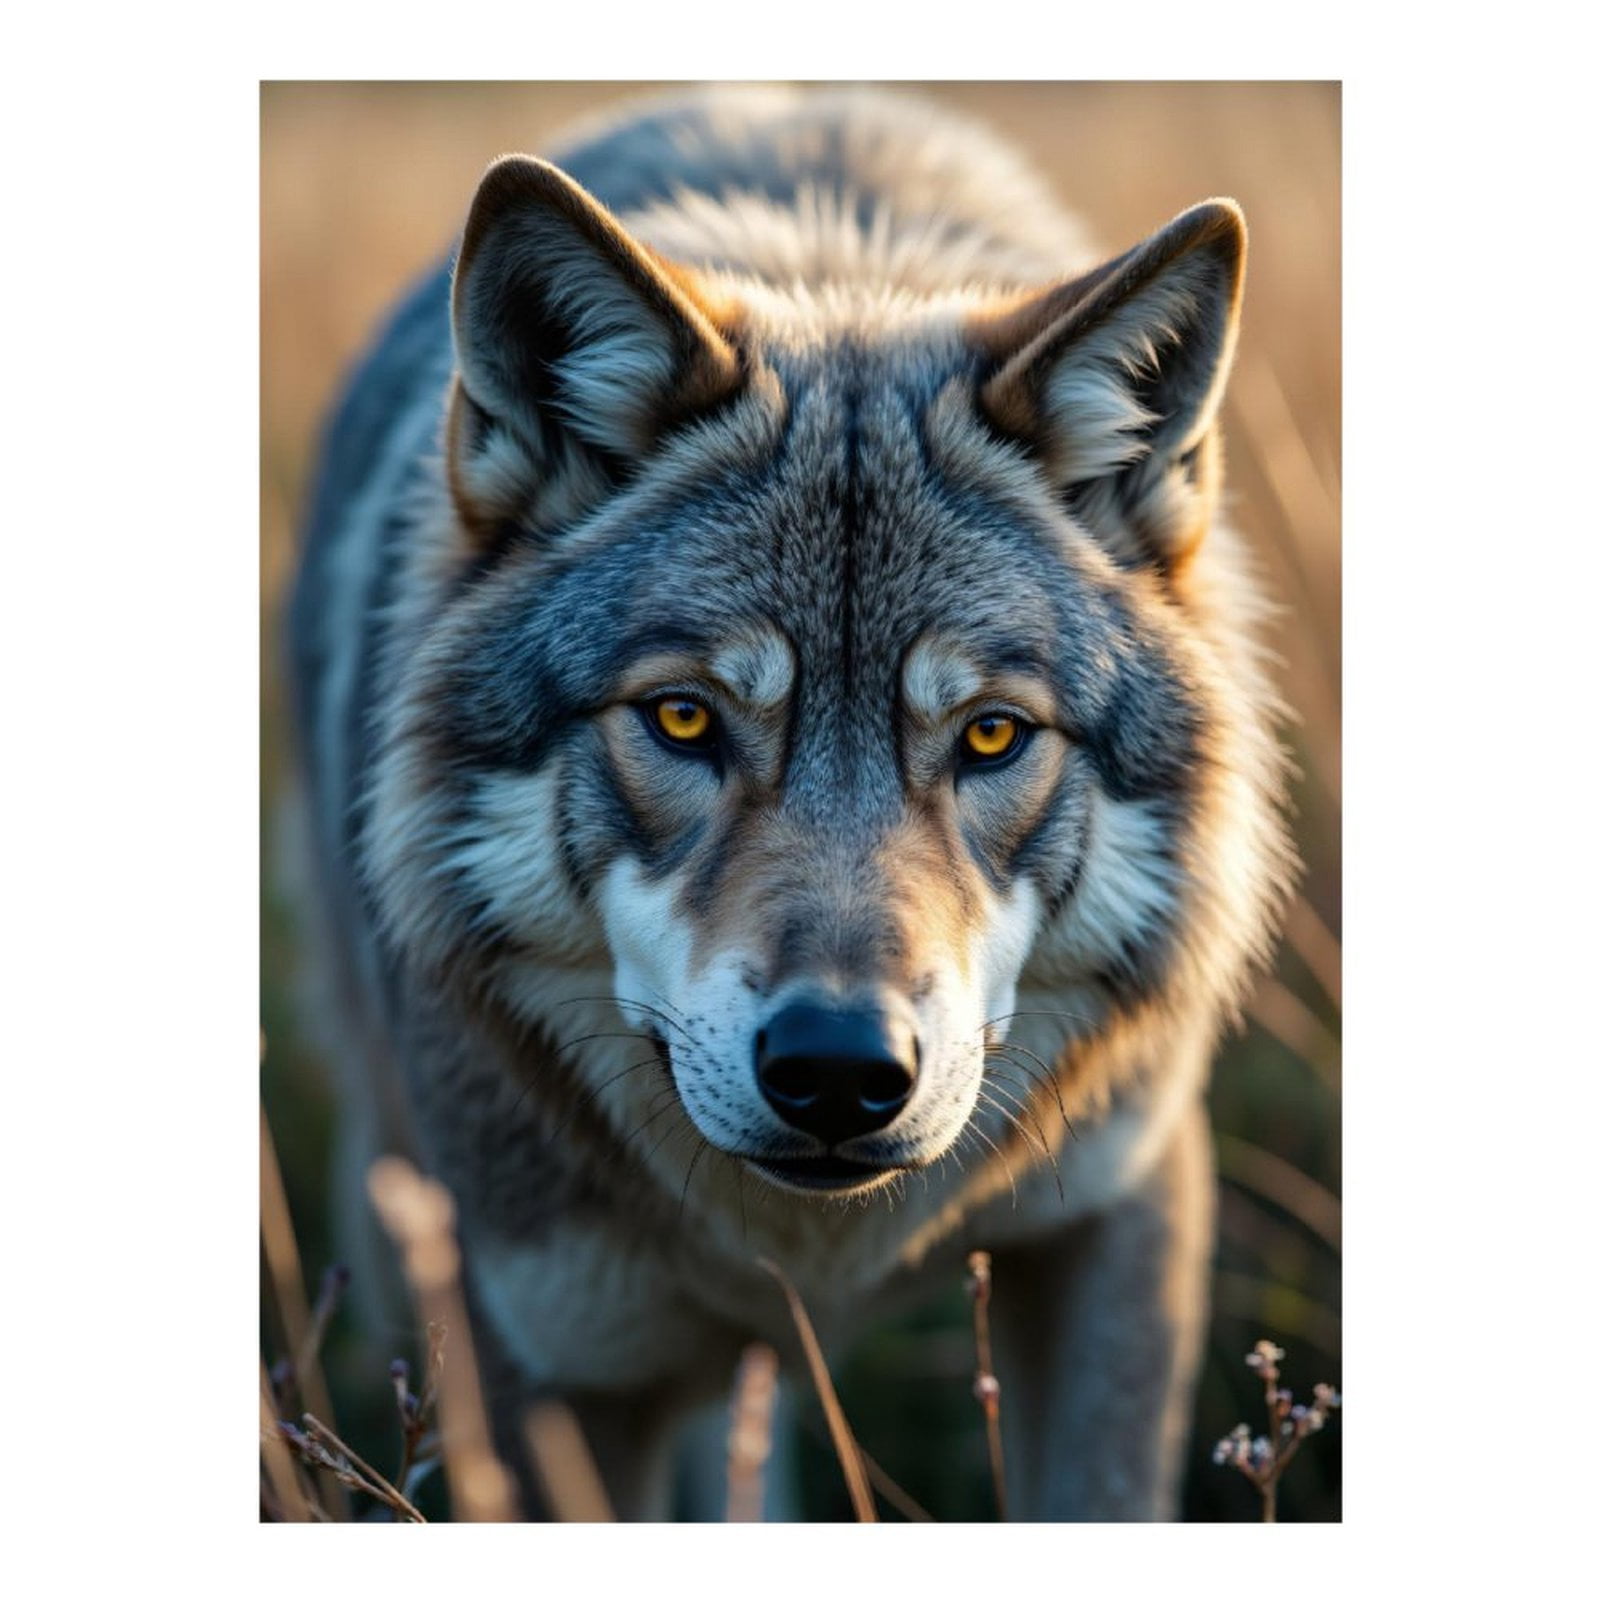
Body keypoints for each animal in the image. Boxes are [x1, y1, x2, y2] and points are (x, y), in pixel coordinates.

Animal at [285, 84, 1294, 1521]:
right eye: (685, 719)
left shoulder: (1127, 1214)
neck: (815, 1251)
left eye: (992, 734)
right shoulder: (549, 1372)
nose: (838, 1070)